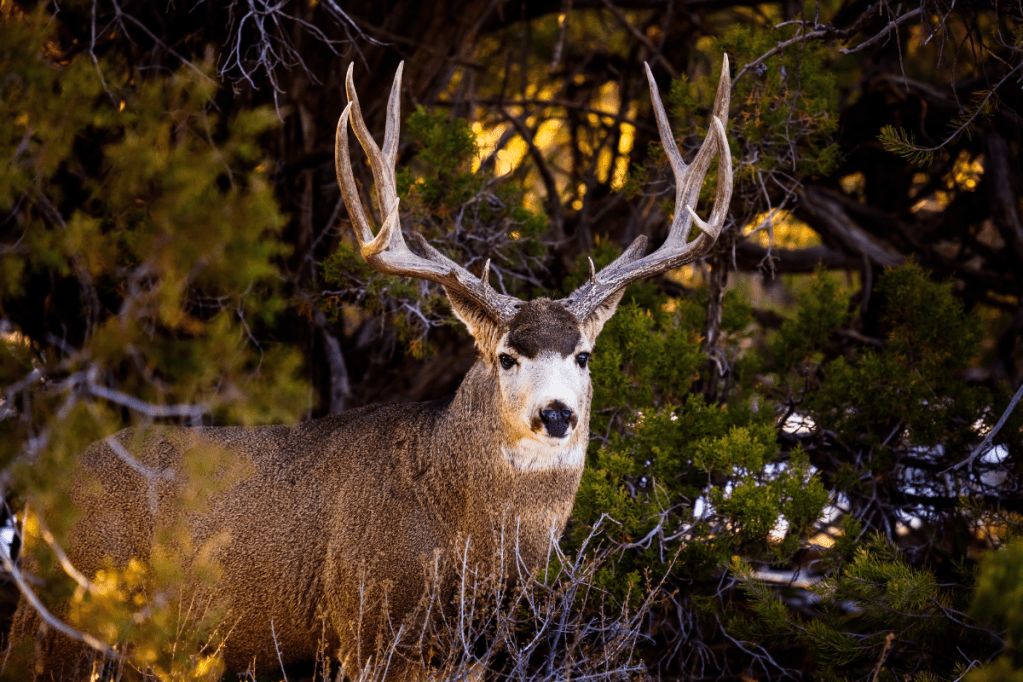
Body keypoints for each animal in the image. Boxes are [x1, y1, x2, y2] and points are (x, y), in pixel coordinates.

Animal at [8, 56, 732, 681]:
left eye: (583, 355)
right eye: (505, 356)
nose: (555, 414)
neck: (461, 533)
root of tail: (41, 493)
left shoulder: (470, 652)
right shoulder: (366, 621)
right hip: (67, 607)